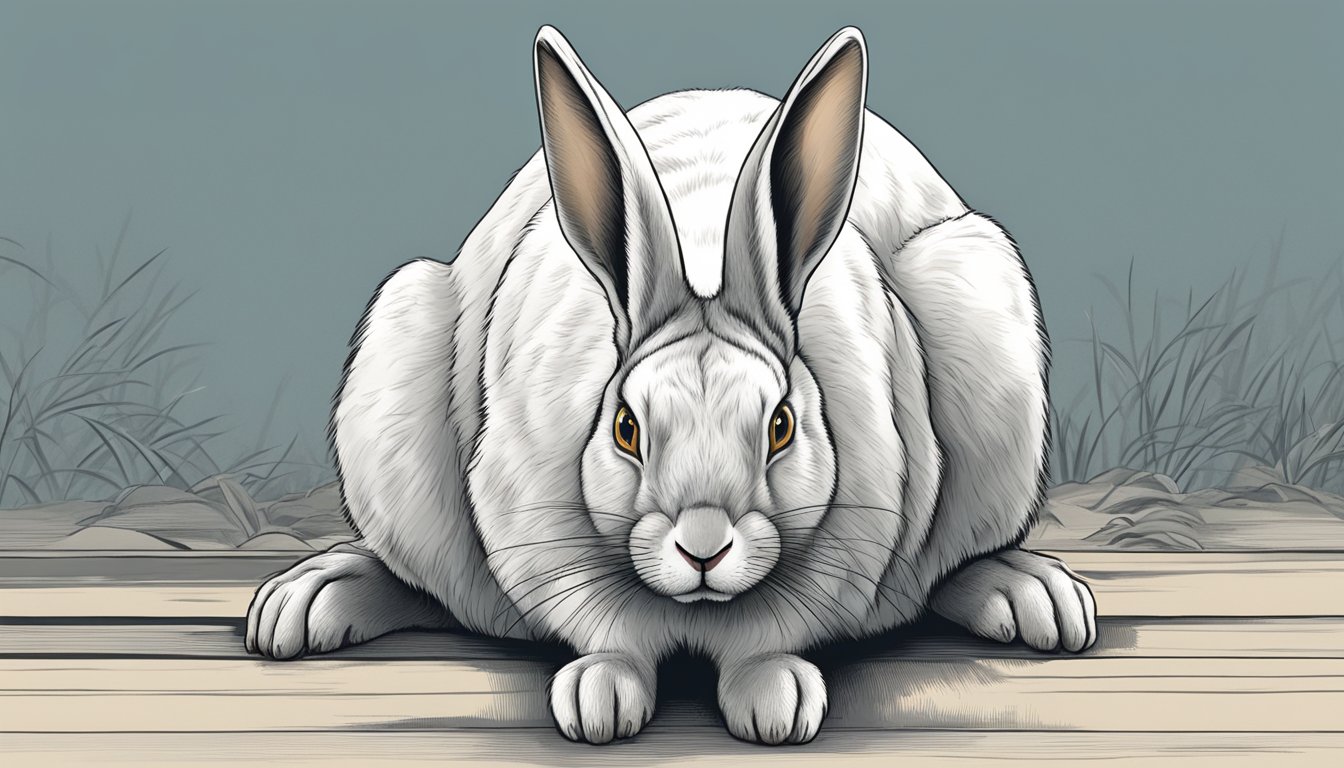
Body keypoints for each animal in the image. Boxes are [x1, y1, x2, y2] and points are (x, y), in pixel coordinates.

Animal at [245, 25, 1097, 745]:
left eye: (780, 426)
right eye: (627, 429)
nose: (703, 546)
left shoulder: (854, 533)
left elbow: (769, 636)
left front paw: (774, 700)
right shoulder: (536, 528)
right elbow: (610, 633)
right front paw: (599, 698)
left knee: (952, 564)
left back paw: (1035, 599)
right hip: (396, 364)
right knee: (428, 581)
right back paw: (303, 603)